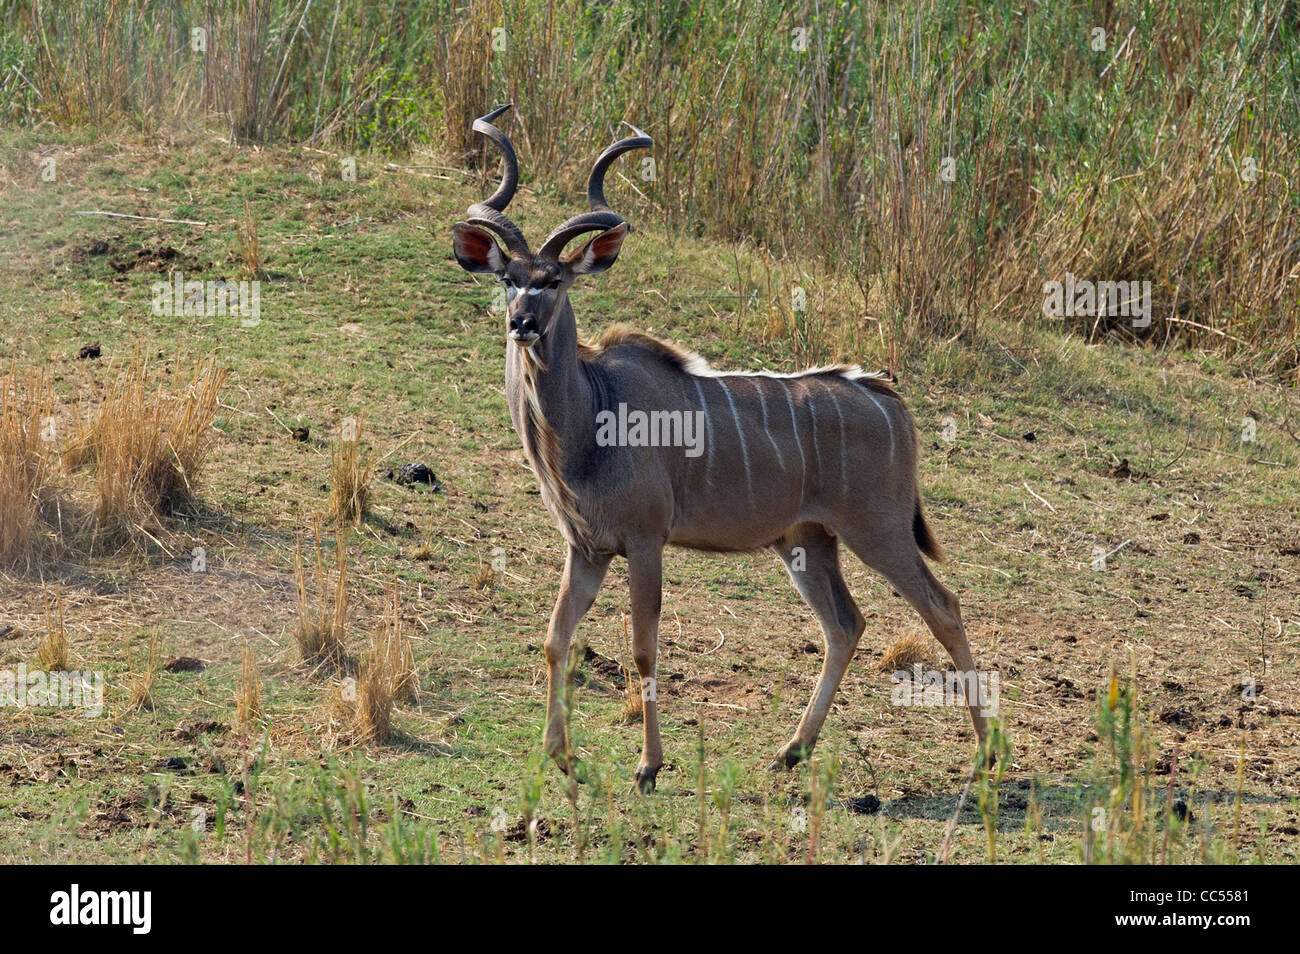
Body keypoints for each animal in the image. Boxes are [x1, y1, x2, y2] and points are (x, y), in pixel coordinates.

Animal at [452, 105, 988, 792]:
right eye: (510, 279)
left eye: (557, 283)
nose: (522, 322)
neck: (590, 415)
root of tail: (888, 398)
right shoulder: (587, 548)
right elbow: (555, 639)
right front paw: (561, 756)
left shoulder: (645, 541)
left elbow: (643, 646)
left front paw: (648, 766)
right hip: (807, 541)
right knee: (845, 624)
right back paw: (793, 749)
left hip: (879, 531)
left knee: (943, 607)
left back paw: (985, 756)